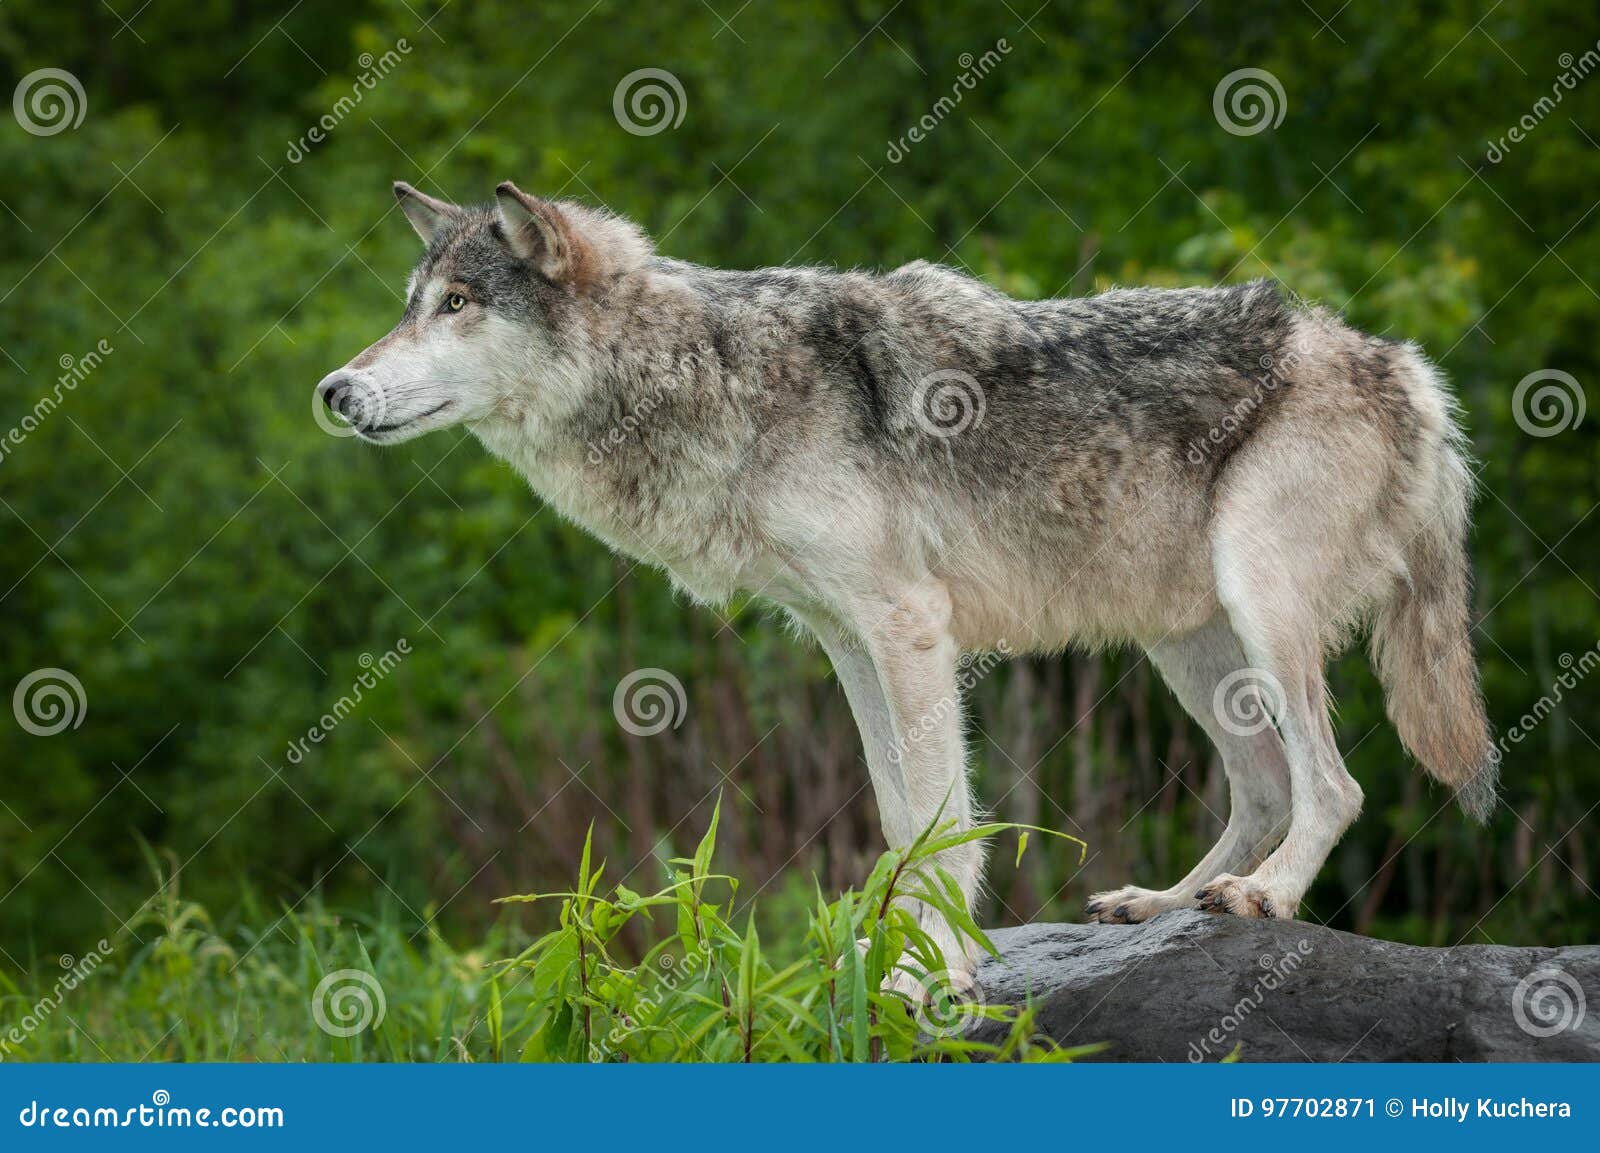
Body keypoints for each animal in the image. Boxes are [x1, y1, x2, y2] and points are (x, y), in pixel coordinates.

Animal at [316, 180, 1496, 980]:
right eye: (411, 303)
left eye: (459, 303)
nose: (333, 390)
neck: (711, 376)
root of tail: (1401, 362)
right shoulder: (847, 642)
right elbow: (896, 818)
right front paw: (896, 956)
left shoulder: (909, 628)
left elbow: (936, 820)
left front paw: (936, 968)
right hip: (1189, 647)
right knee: (1263, 785)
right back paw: (1168, 901)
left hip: (1257, 606)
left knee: (1331, 785)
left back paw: (1262, 896)